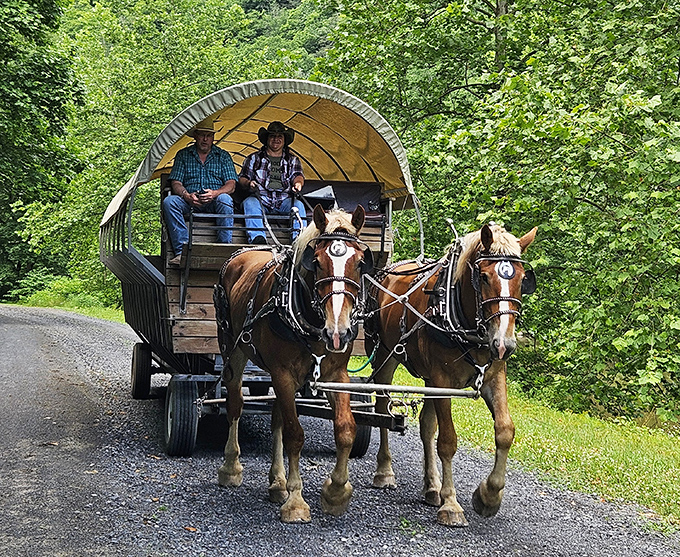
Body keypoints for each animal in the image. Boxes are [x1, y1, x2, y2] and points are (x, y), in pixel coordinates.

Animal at [213, 204, 373, 523]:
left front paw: (336, 491)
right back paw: (231, 467)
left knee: (276, 417)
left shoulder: (336, 374)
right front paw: (296, 501)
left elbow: (345, 429)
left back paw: (277, 483)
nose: (338, 332)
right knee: (235, 403)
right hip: (233, 349)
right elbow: (295, 434)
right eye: (317, 262)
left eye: (361, 262)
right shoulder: (284, 374)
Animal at [363, 223, 537, 526]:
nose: (505, 344)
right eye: (483, 277)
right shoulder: (442, 381)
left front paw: (488, 496)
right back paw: (385, 472)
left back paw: (432, 487)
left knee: (425, 425)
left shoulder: (492, 376)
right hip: (386, 356)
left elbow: (505, 430)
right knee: (383, 410)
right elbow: (447, 441)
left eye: (522, 279)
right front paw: (452, 504)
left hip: (428, 380)